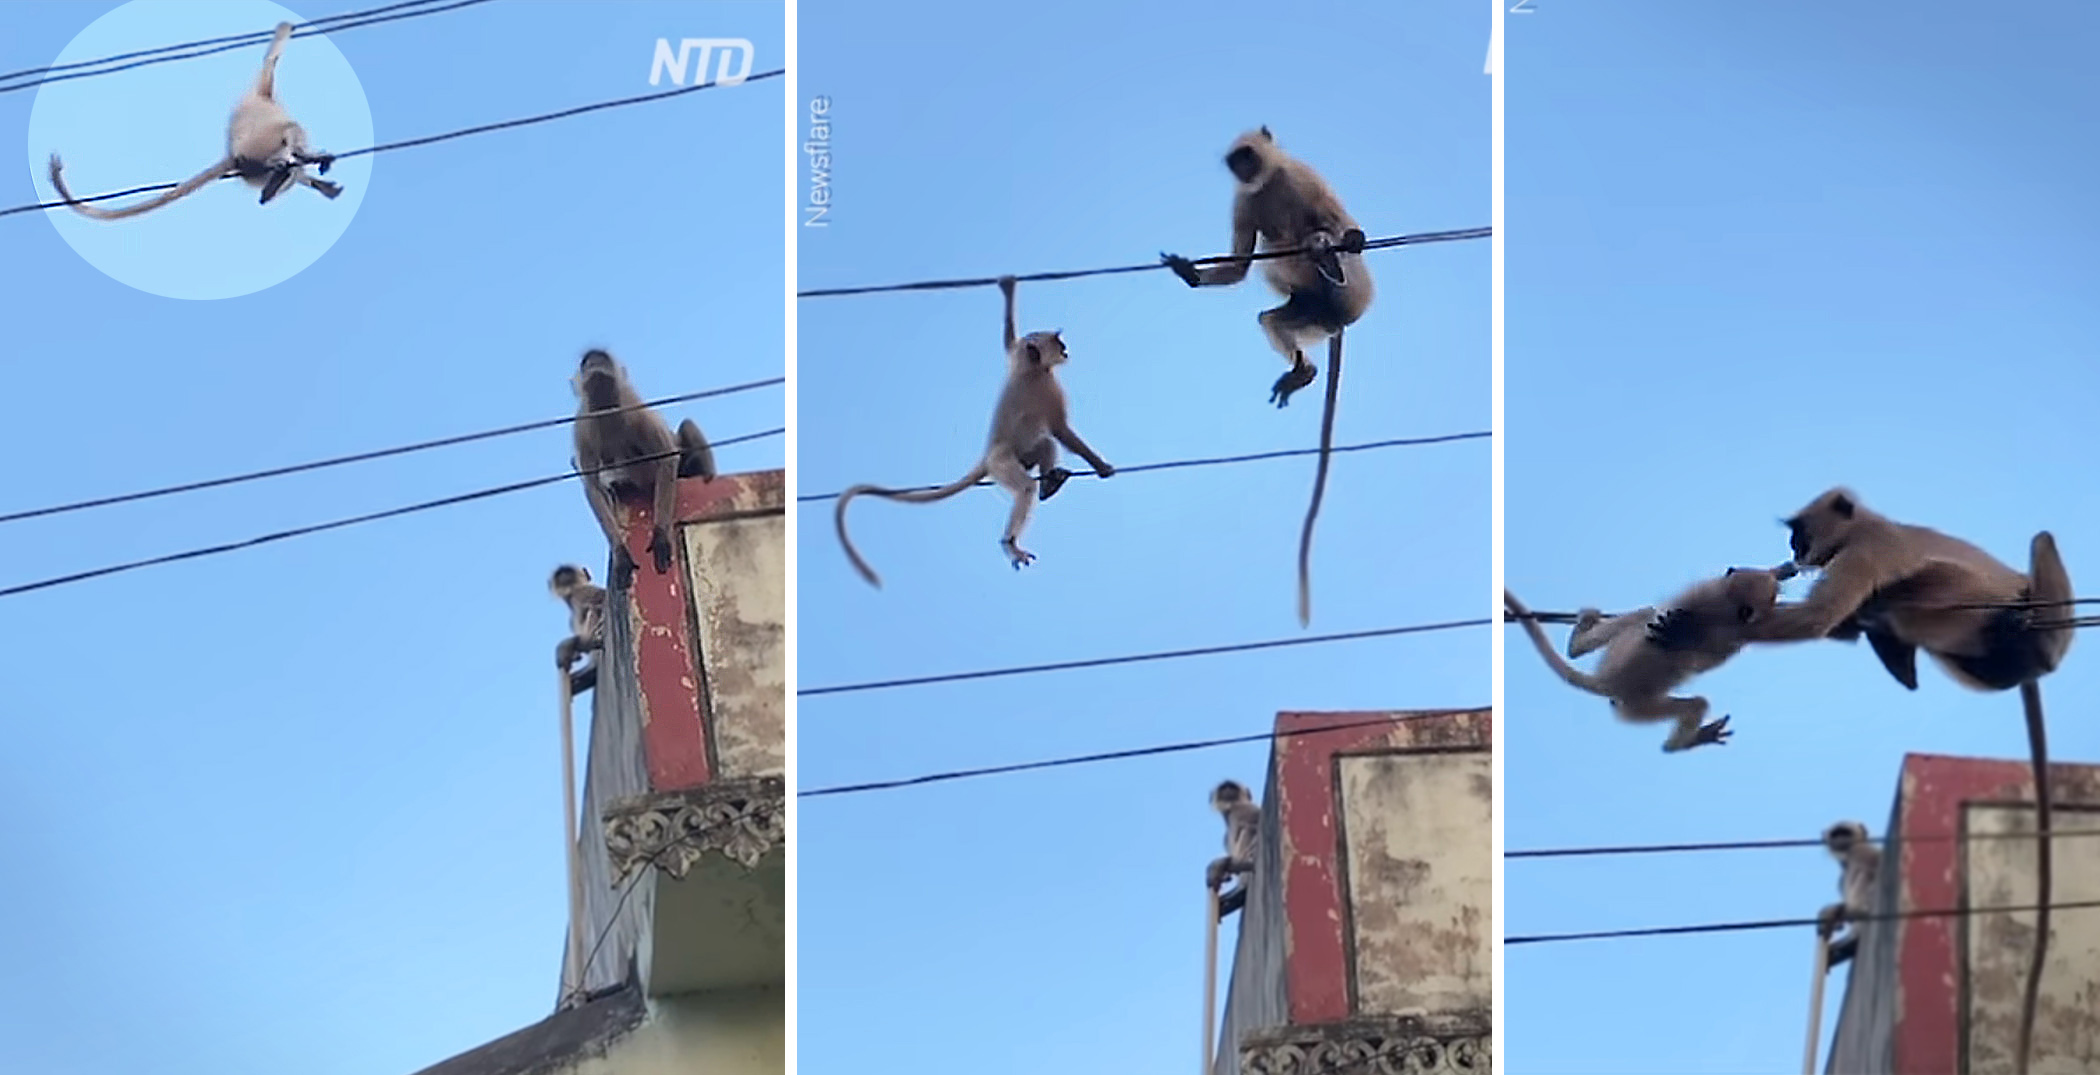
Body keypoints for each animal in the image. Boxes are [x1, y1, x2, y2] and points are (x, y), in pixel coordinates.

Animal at [47, 22, 342, 220]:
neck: (263, 98)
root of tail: (233, 155)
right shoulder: (263, 92)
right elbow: (271, 59)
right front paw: (284, 30)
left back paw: (275, 186)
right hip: (260, 144)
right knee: (292, 134)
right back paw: (288, 170)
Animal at [570, 349, 718, 585]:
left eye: (603, 358)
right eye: (587, 363)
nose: (595, 362)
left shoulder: (635, 407)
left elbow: (667, 457)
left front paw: (660, 536)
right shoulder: (582, 426)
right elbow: (592, 486)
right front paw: (621, 553)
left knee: (686, 427)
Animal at [832, 276, 1115, 588]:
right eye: (1057, 343)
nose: (1065, 349)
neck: (1029, 369)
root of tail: (987, 456)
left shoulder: (1018, 357)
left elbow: (1008, 343)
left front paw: (1007, 289)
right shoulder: (1046, 387)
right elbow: (1061, 430)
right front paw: (1101, 466)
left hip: (1019, 456)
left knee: (1043, 446)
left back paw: (1048, 485)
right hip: (1002, 464)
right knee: (1027, 484)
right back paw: (1011, 541)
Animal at [1159, 129, 1374, 626]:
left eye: (1247, 156)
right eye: (1235, 163)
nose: (1242, 170)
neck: (1268, 181)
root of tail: (1337, 319)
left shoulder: (1301, 175)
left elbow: (1337, 216)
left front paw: (1348, 235)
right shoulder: (1244, 200)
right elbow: (1240, 265)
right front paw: (1189, 274)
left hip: (1356, 293)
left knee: (1317, 236)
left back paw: (1330, 258)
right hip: (1306, 310)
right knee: (1272, 308)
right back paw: (1304, 370)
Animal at [1503, 563, 1798, 753]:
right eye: (1772, 595)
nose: (1779, 581)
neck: (1722, 603)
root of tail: (1608, 682)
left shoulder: (1707, 590)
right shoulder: (1727, 630)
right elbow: (1707, 660)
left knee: (1644, 613)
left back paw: (1577, 644)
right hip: (1638, 706)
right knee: (1695, 705)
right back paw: (1680, 745)